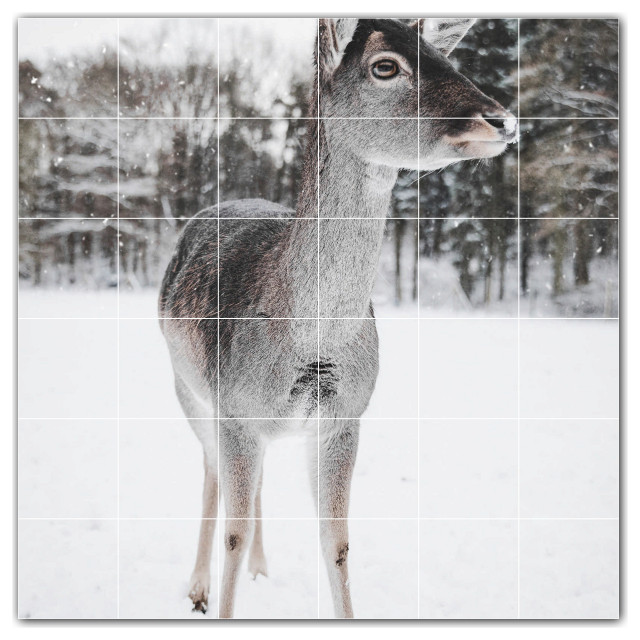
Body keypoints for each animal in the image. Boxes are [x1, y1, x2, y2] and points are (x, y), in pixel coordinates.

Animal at [158, 18, 517, 619]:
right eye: (385, 66)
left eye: (445, 54)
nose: (503, 119)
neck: (312, 342)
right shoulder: (234, 409)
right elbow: (232, 531)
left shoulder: (346, 414)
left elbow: (337, 540)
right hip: (187, 387)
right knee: (210, 470)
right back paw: (197, 588)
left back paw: (261, 569)